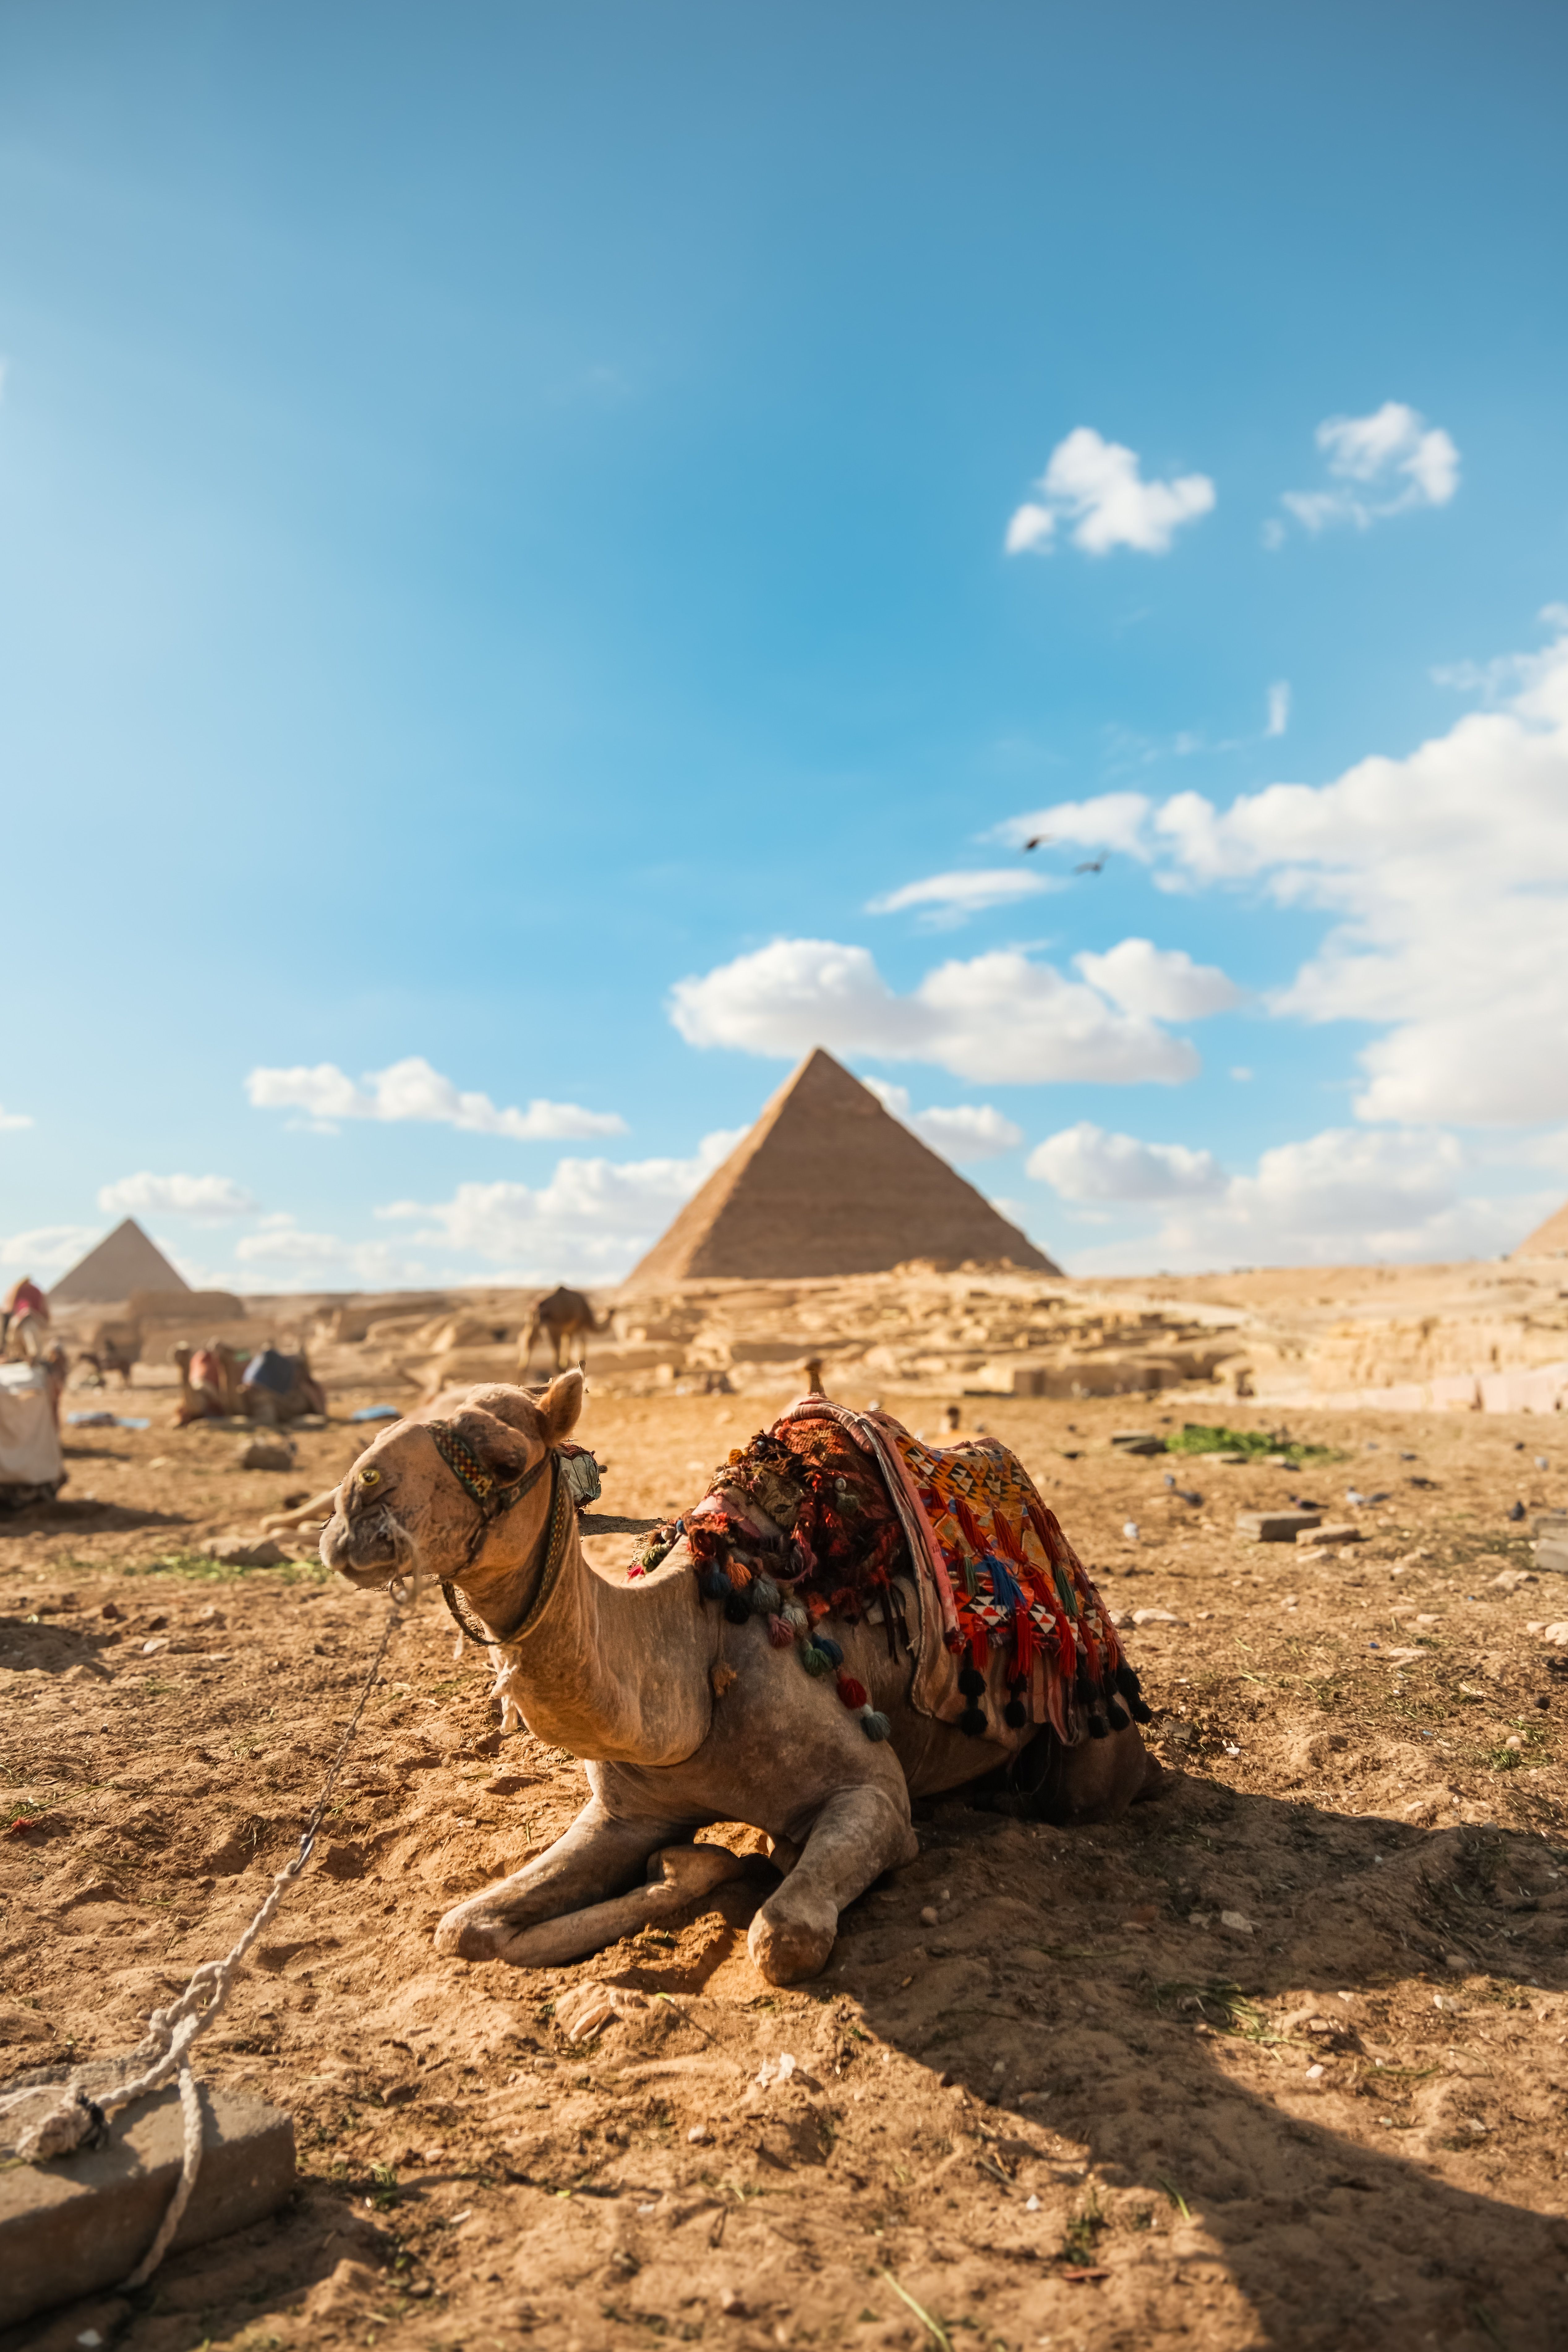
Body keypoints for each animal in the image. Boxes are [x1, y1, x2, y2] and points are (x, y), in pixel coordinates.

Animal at [323, 1374, 1160, 1986]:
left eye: (501, 1457)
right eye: (385, 1428)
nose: (353, 1506)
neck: (689, 1669)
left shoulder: (874, 1795)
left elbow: (782, 1938)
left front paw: (740, 1862)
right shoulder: (625, 1812)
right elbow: (463, 1927)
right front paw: (698, 1863)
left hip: (1090, 1750)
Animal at [519, 1287, 613, 1376]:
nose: (612, 1310)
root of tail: (538, 1305)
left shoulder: (569, 1331)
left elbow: (569, 1344)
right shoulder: (580, 1326)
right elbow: (581, 1343)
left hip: (532, 1322)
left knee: (529, 1342)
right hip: (554, 1325)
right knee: (556, 1347)